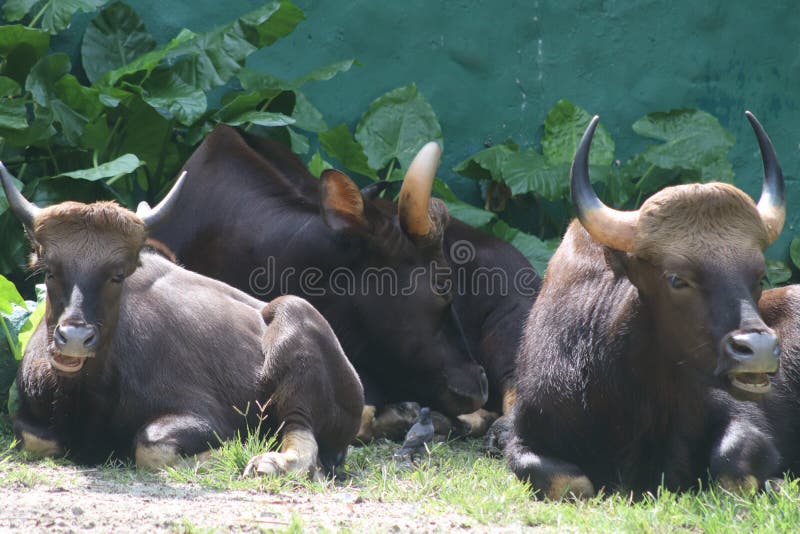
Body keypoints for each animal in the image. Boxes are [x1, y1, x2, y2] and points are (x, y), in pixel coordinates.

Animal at [1, 165, 364, 476]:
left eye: (118, 274)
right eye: (49, 270)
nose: (75, 338)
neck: (83, 395)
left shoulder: (204, 417)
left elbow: (150, 447)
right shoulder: (32, 423)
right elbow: (36, 439)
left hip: (296, 327)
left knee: (302, 434)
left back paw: (269, 462)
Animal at [506, 112, 784, 499]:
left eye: (759, 276)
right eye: (677, 279)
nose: (757, 349)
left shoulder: (745, 418)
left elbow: (733, 469)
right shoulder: (525, 435)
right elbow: (570, 481)